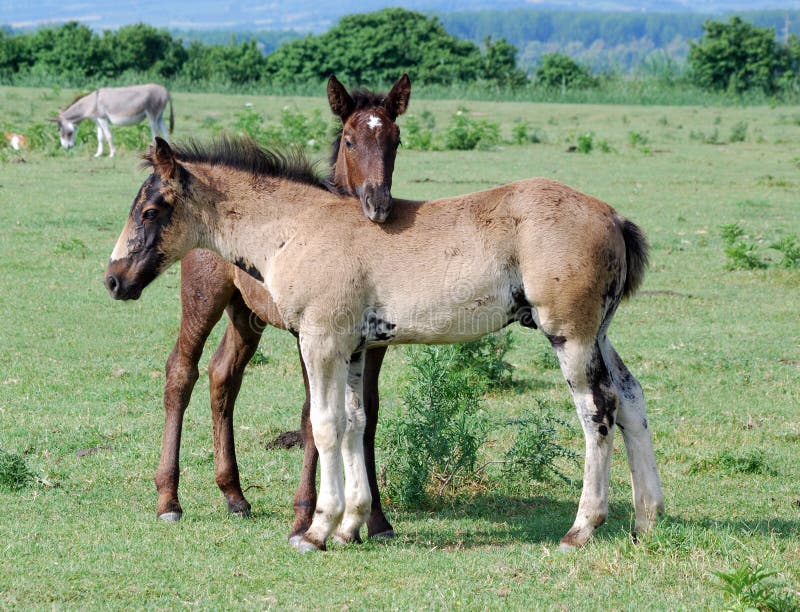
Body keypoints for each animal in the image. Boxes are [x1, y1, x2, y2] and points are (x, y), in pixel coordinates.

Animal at [105, 136, 664, 552]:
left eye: (151, 211)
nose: (114, 280)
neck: (297, 228)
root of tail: (613, 217)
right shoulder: (354, 347)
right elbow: (355, 422)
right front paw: (352, 525)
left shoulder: (321, 340)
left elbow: (325, 426)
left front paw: (316, 530)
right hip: (600, 333)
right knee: (632, 398)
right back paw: (647, 520)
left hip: (570, 333)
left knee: (598, 408)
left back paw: (582, 528)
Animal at [134, 75, 409, 543]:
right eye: (349, 139)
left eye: (396, 139)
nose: (379, 204)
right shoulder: (308, 337)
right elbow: (312, 416)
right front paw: (304, 516)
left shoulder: (373, 346)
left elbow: (367, 415)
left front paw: (376, 520)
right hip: (205, 299)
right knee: (181, 372)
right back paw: (169, 500)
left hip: (246, 315)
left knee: (223, 375)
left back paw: (234, 495)